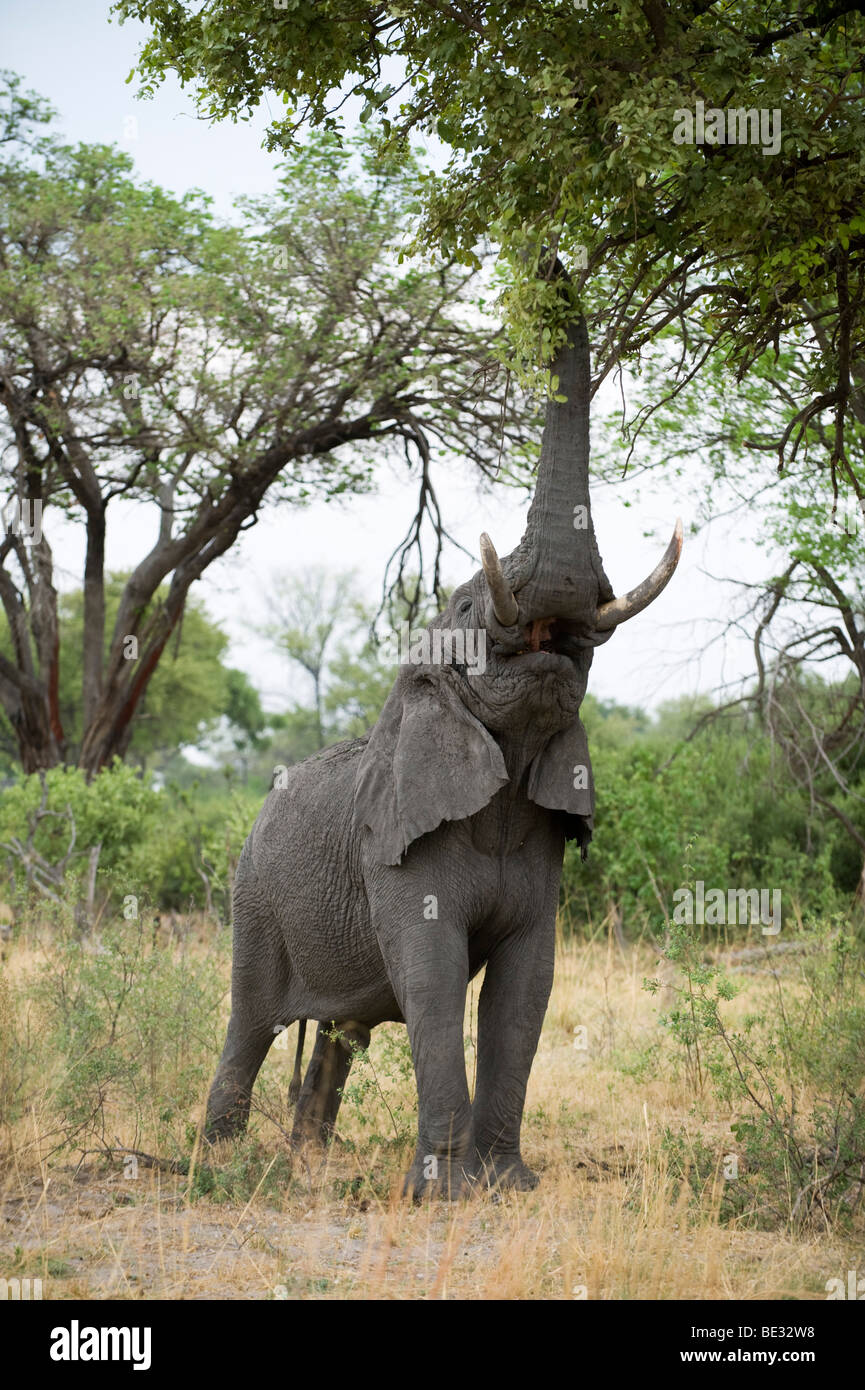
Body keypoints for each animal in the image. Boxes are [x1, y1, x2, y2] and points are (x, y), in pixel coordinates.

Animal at [205, 305, 682, 1198]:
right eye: (465, 605)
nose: (554, 280)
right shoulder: (391, 846)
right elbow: (431, 973)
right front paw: (446, 1194)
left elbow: (526, 985)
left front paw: (509, 1186)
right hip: (251, 897)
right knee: (249, 1023)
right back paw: (216, 1161)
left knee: (339, 1036)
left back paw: (309, 1159)